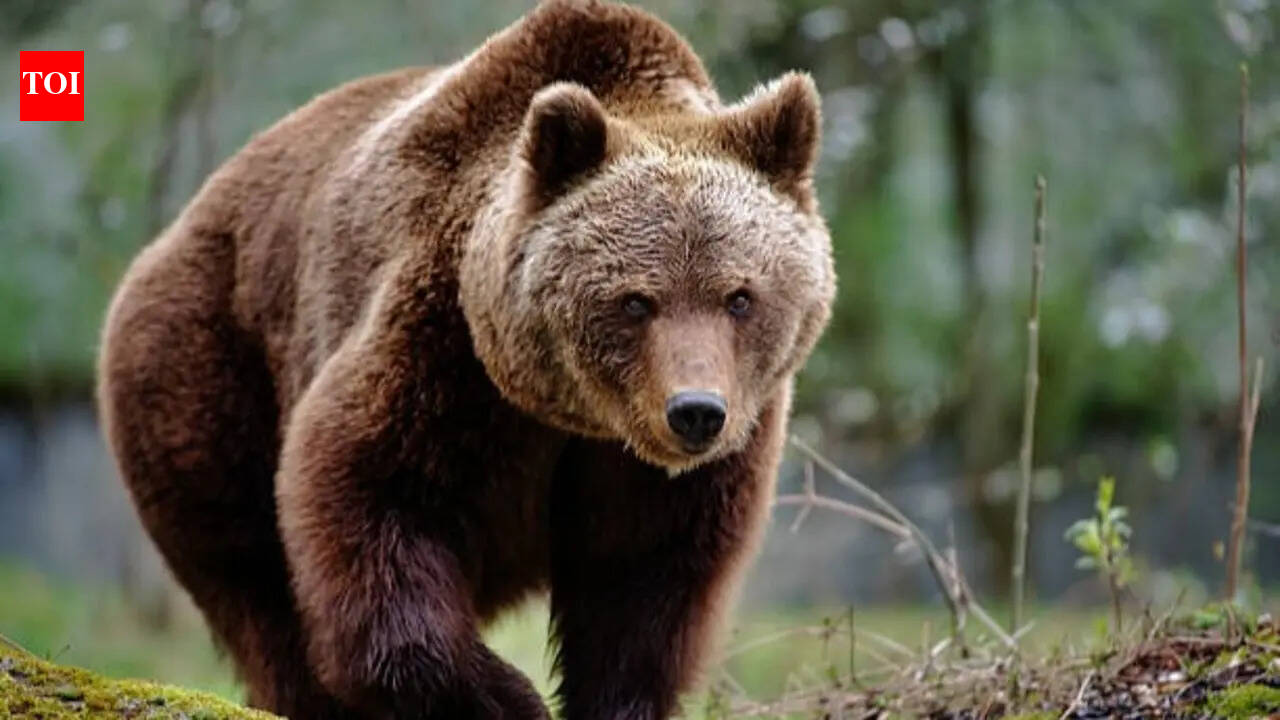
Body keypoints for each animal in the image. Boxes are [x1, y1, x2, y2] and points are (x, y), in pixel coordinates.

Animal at [96, 1, 835, 718]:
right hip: (206, 365)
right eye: (635, 300)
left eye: (739, 296)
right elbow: (371, 500)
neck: (572, 414)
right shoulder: (442, 349)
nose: (695, 413)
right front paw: (509, 697)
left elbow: (644, 580)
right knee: (251, 572)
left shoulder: (679, 460)